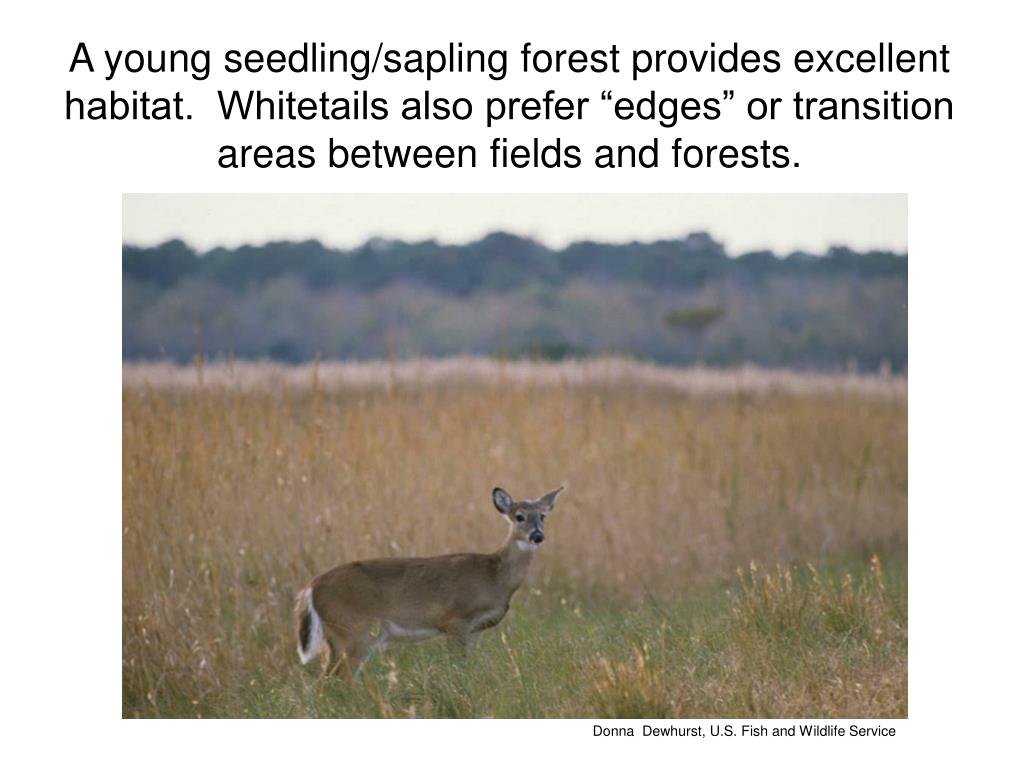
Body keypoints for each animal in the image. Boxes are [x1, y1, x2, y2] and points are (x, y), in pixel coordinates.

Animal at [295, 485, 564, 678]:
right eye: (519, 516)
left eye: (542, 516)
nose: (537, 536)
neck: (494, 577)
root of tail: (311, 587)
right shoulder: (455, 620)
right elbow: (458, 667)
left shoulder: (475, 629)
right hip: (354, 629)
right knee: (340, 678)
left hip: (335, 636)